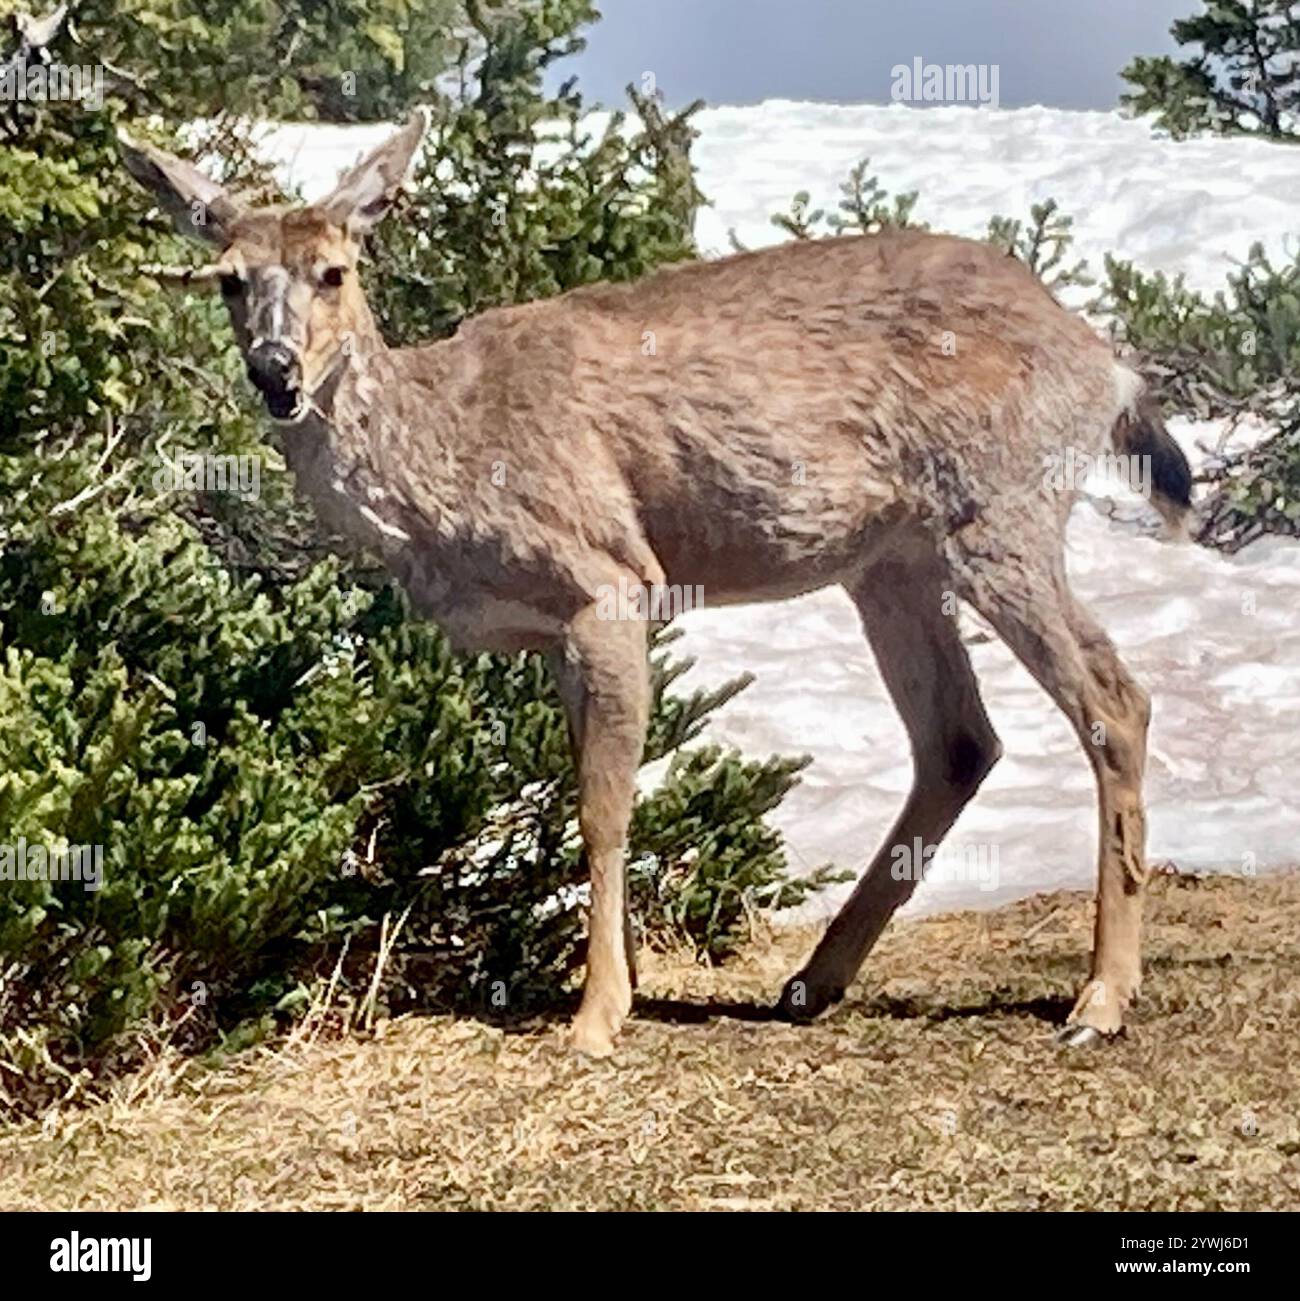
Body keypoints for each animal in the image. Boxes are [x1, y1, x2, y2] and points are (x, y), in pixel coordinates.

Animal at [118, 111, 1193, 1057]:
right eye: (228, 280)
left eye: (333, 271)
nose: (276, 371)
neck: (448, 452)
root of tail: (1107, 366)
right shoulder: (555, 627)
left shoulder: (608, 576)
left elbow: (602, 805)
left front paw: (598, 1015)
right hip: (891, 560)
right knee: (960, 738)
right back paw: (812, 982)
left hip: (999, 510)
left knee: (1115, 700)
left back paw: (1099, 999)